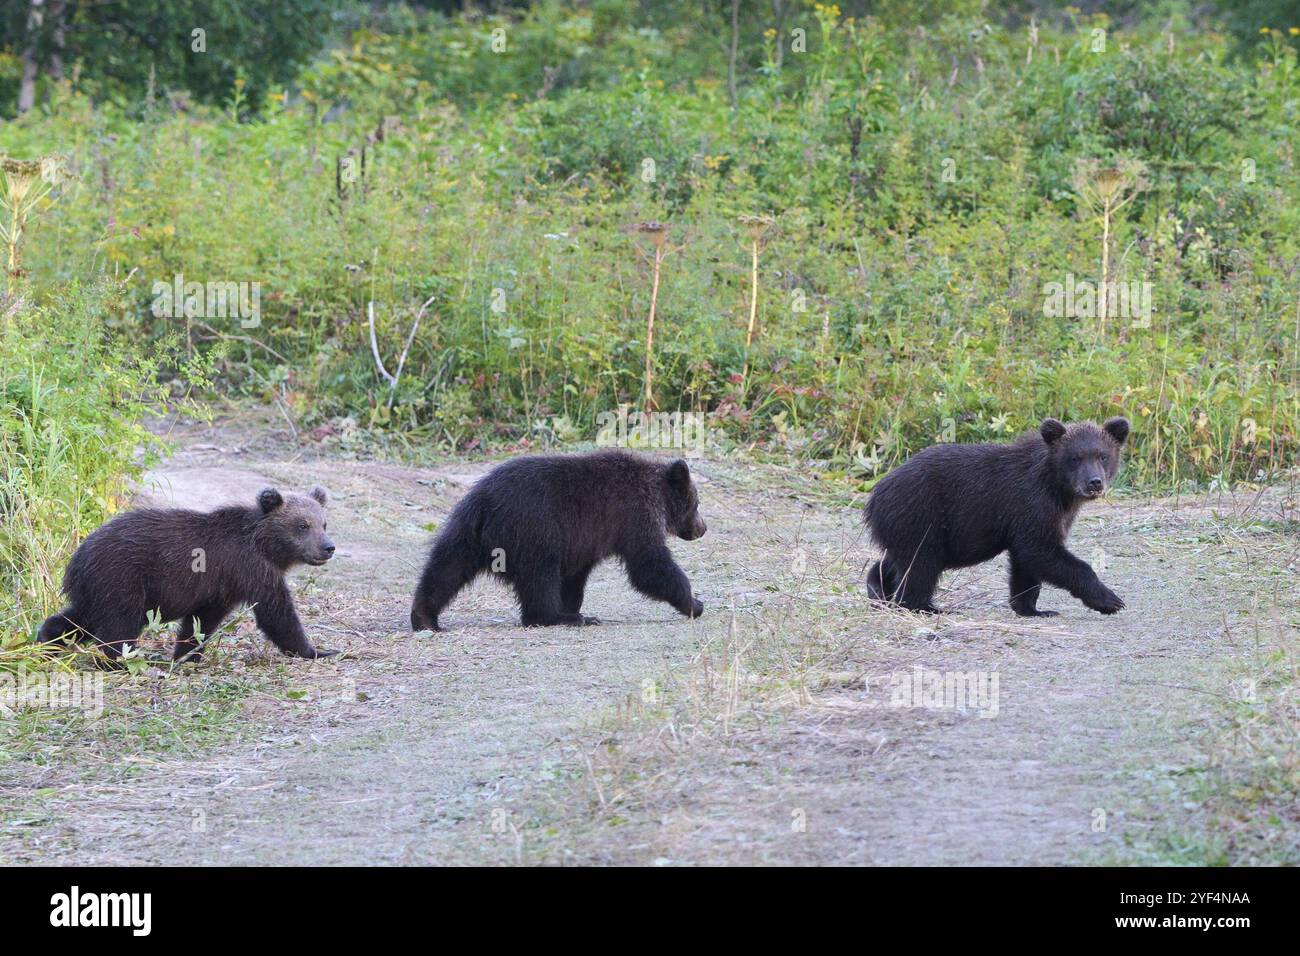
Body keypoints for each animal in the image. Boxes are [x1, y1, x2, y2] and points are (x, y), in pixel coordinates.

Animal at [37, 487, 338, 663]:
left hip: (97, 589)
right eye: (302, 525)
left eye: (324, 523)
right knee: (119, 625)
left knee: (79, 619)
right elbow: (277, 613)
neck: (265, 546)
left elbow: (201, 622)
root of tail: (77, 559)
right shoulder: (250, 569)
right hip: (122, 578)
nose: (328, 547)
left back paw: (46, 641)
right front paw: (316, 649)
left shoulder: (221, 588)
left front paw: (187, 655)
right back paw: (121, 659)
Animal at [410, 450, 707, 631]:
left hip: (469, 530)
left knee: (446, 567)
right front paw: (694, 603)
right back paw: (563, 618)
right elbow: (649, 564)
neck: (658, 496)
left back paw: (424, 617)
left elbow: (574, 578)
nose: (702, 528)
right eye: (696, 503)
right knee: (540, 577)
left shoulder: (583, 542)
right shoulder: (633, 515)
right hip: (534, 532)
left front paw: (571, 604)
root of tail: (486, 501)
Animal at [864, 417, 1129, 617]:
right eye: (1076, 457)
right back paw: (927, 607)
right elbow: (1041, 551)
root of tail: (875, 495)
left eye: (1102, 455)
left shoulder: (1044, 517)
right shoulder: (1032, 503)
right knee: (921, 565)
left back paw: (879, 589)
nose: (1094, 482)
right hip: (920, 517)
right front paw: (1110, 600)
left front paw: (1032, 609)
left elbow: (1027, 562)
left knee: (895, 562)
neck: (1058, 488)